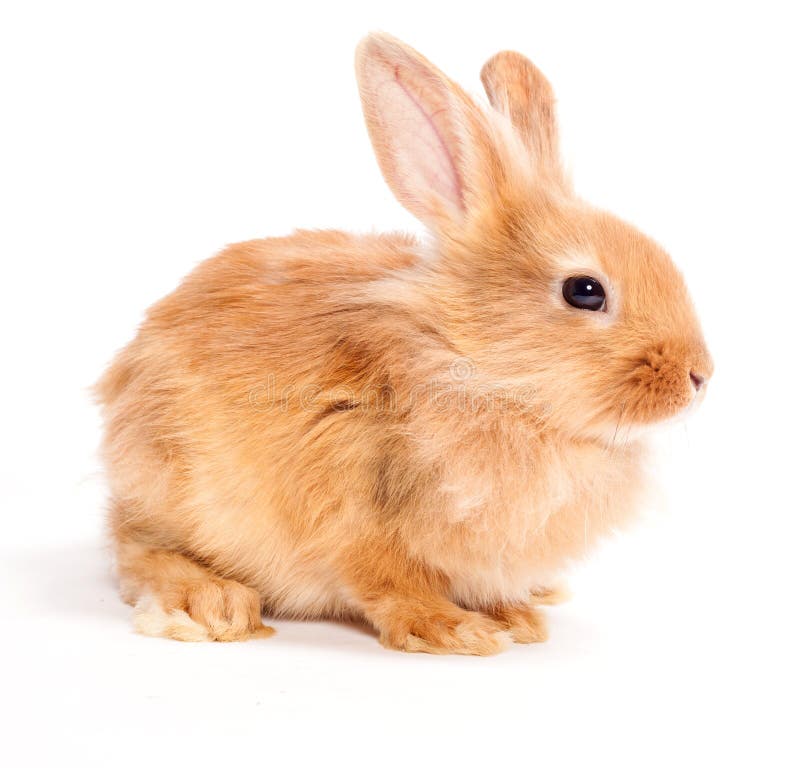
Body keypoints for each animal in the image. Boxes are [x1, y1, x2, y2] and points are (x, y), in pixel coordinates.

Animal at [96, 32, 713, 654]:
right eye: (585, 291)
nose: (699, 376)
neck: (470, 366)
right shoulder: (351, 513)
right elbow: (388, 583)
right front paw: (456, 630)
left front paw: (515, 618)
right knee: (138, 549)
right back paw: (210, 605)